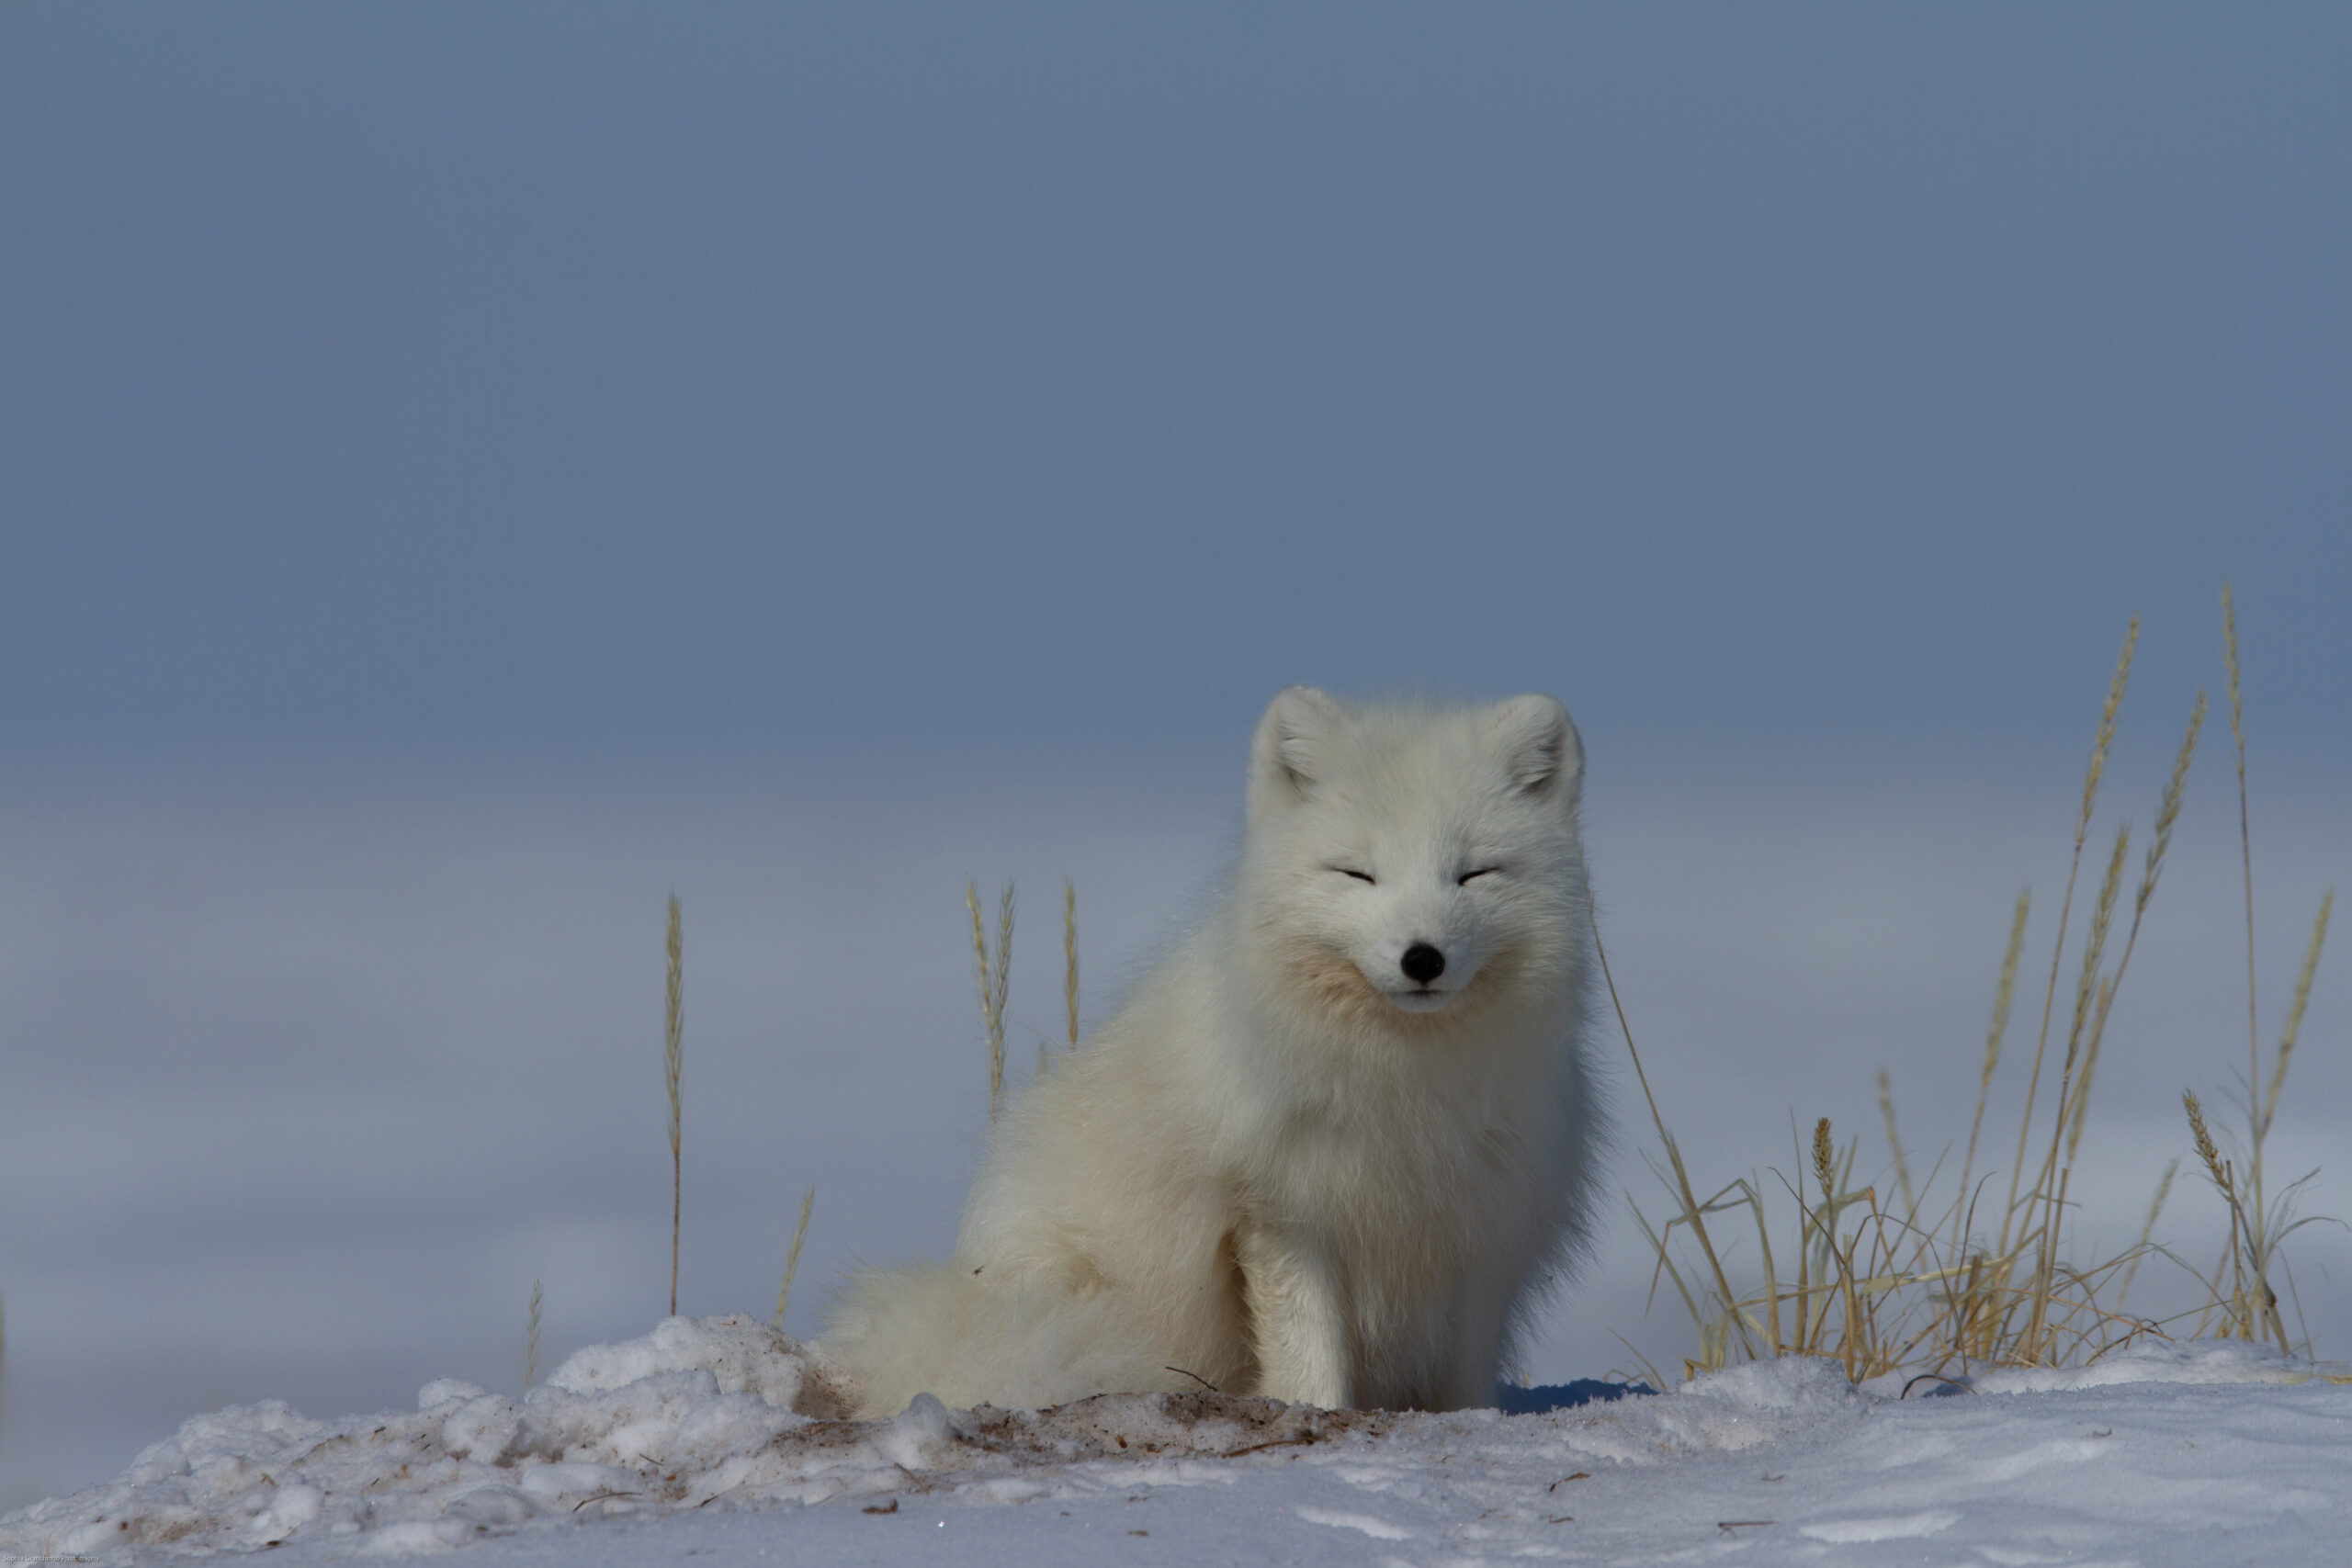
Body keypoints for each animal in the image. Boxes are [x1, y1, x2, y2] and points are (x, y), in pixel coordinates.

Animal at [824, 687, 1603, 1417]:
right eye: (1357, 874)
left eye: (1475, 874)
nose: (1423, 957)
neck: (1403, 1089)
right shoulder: (1282, 1210)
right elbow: (1309, 1348)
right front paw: (1318, 1411)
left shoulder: (1478, 1228)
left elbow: (1464, 1372)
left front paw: (1472, 1421)